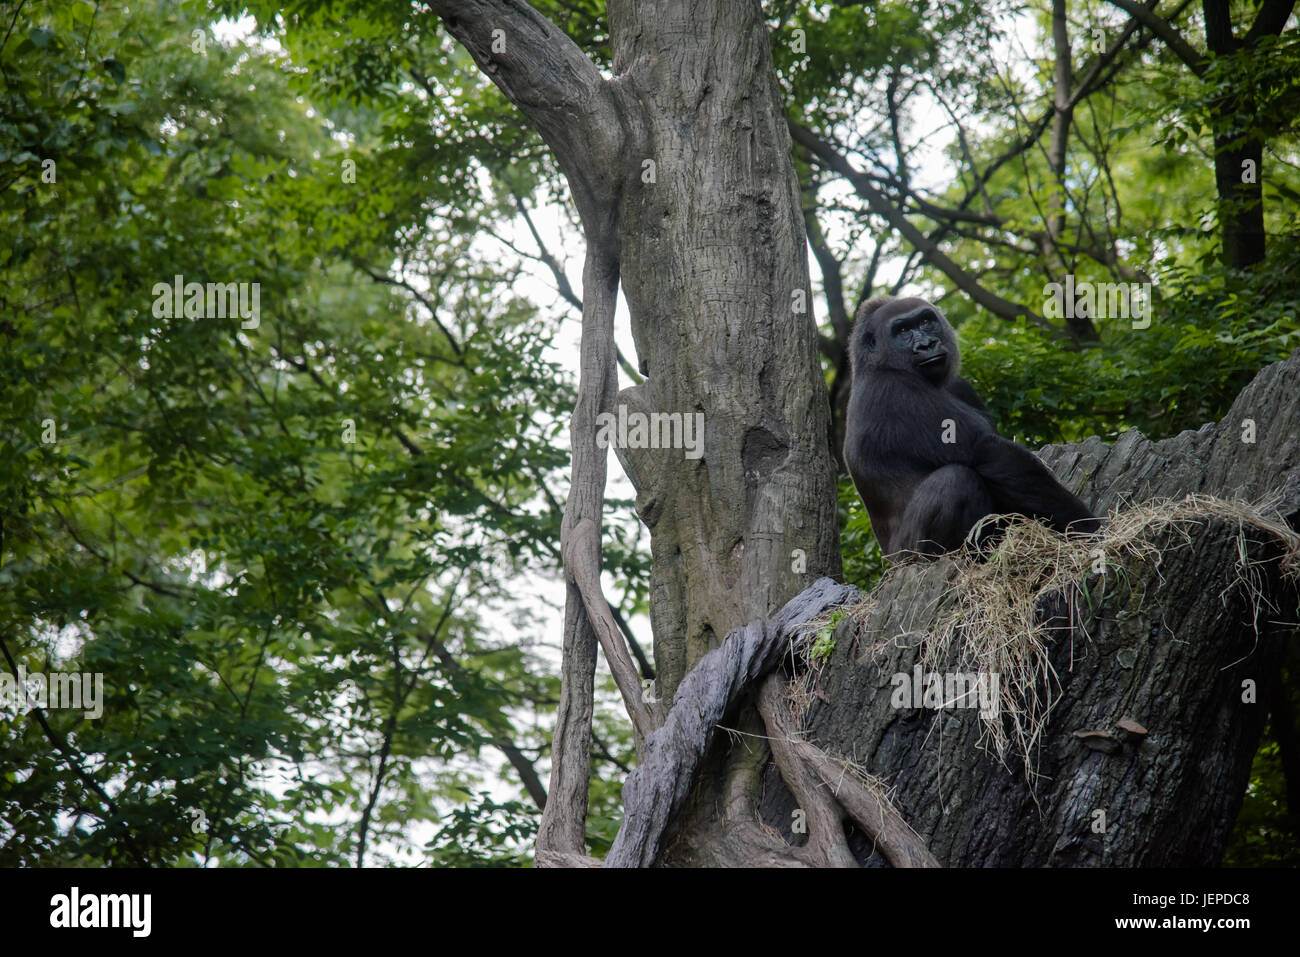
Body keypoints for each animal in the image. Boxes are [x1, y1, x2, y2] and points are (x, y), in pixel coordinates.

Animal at [843, 296, 1100, 558]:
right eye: (902, 330)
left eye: (925, 321)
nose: (927, 344)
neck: (876, 364)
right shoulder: (894, 392)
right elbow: (989, 451)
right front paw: (1087, 527)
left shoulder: (960, 385)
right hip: (908, 556)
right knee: (956, 479)